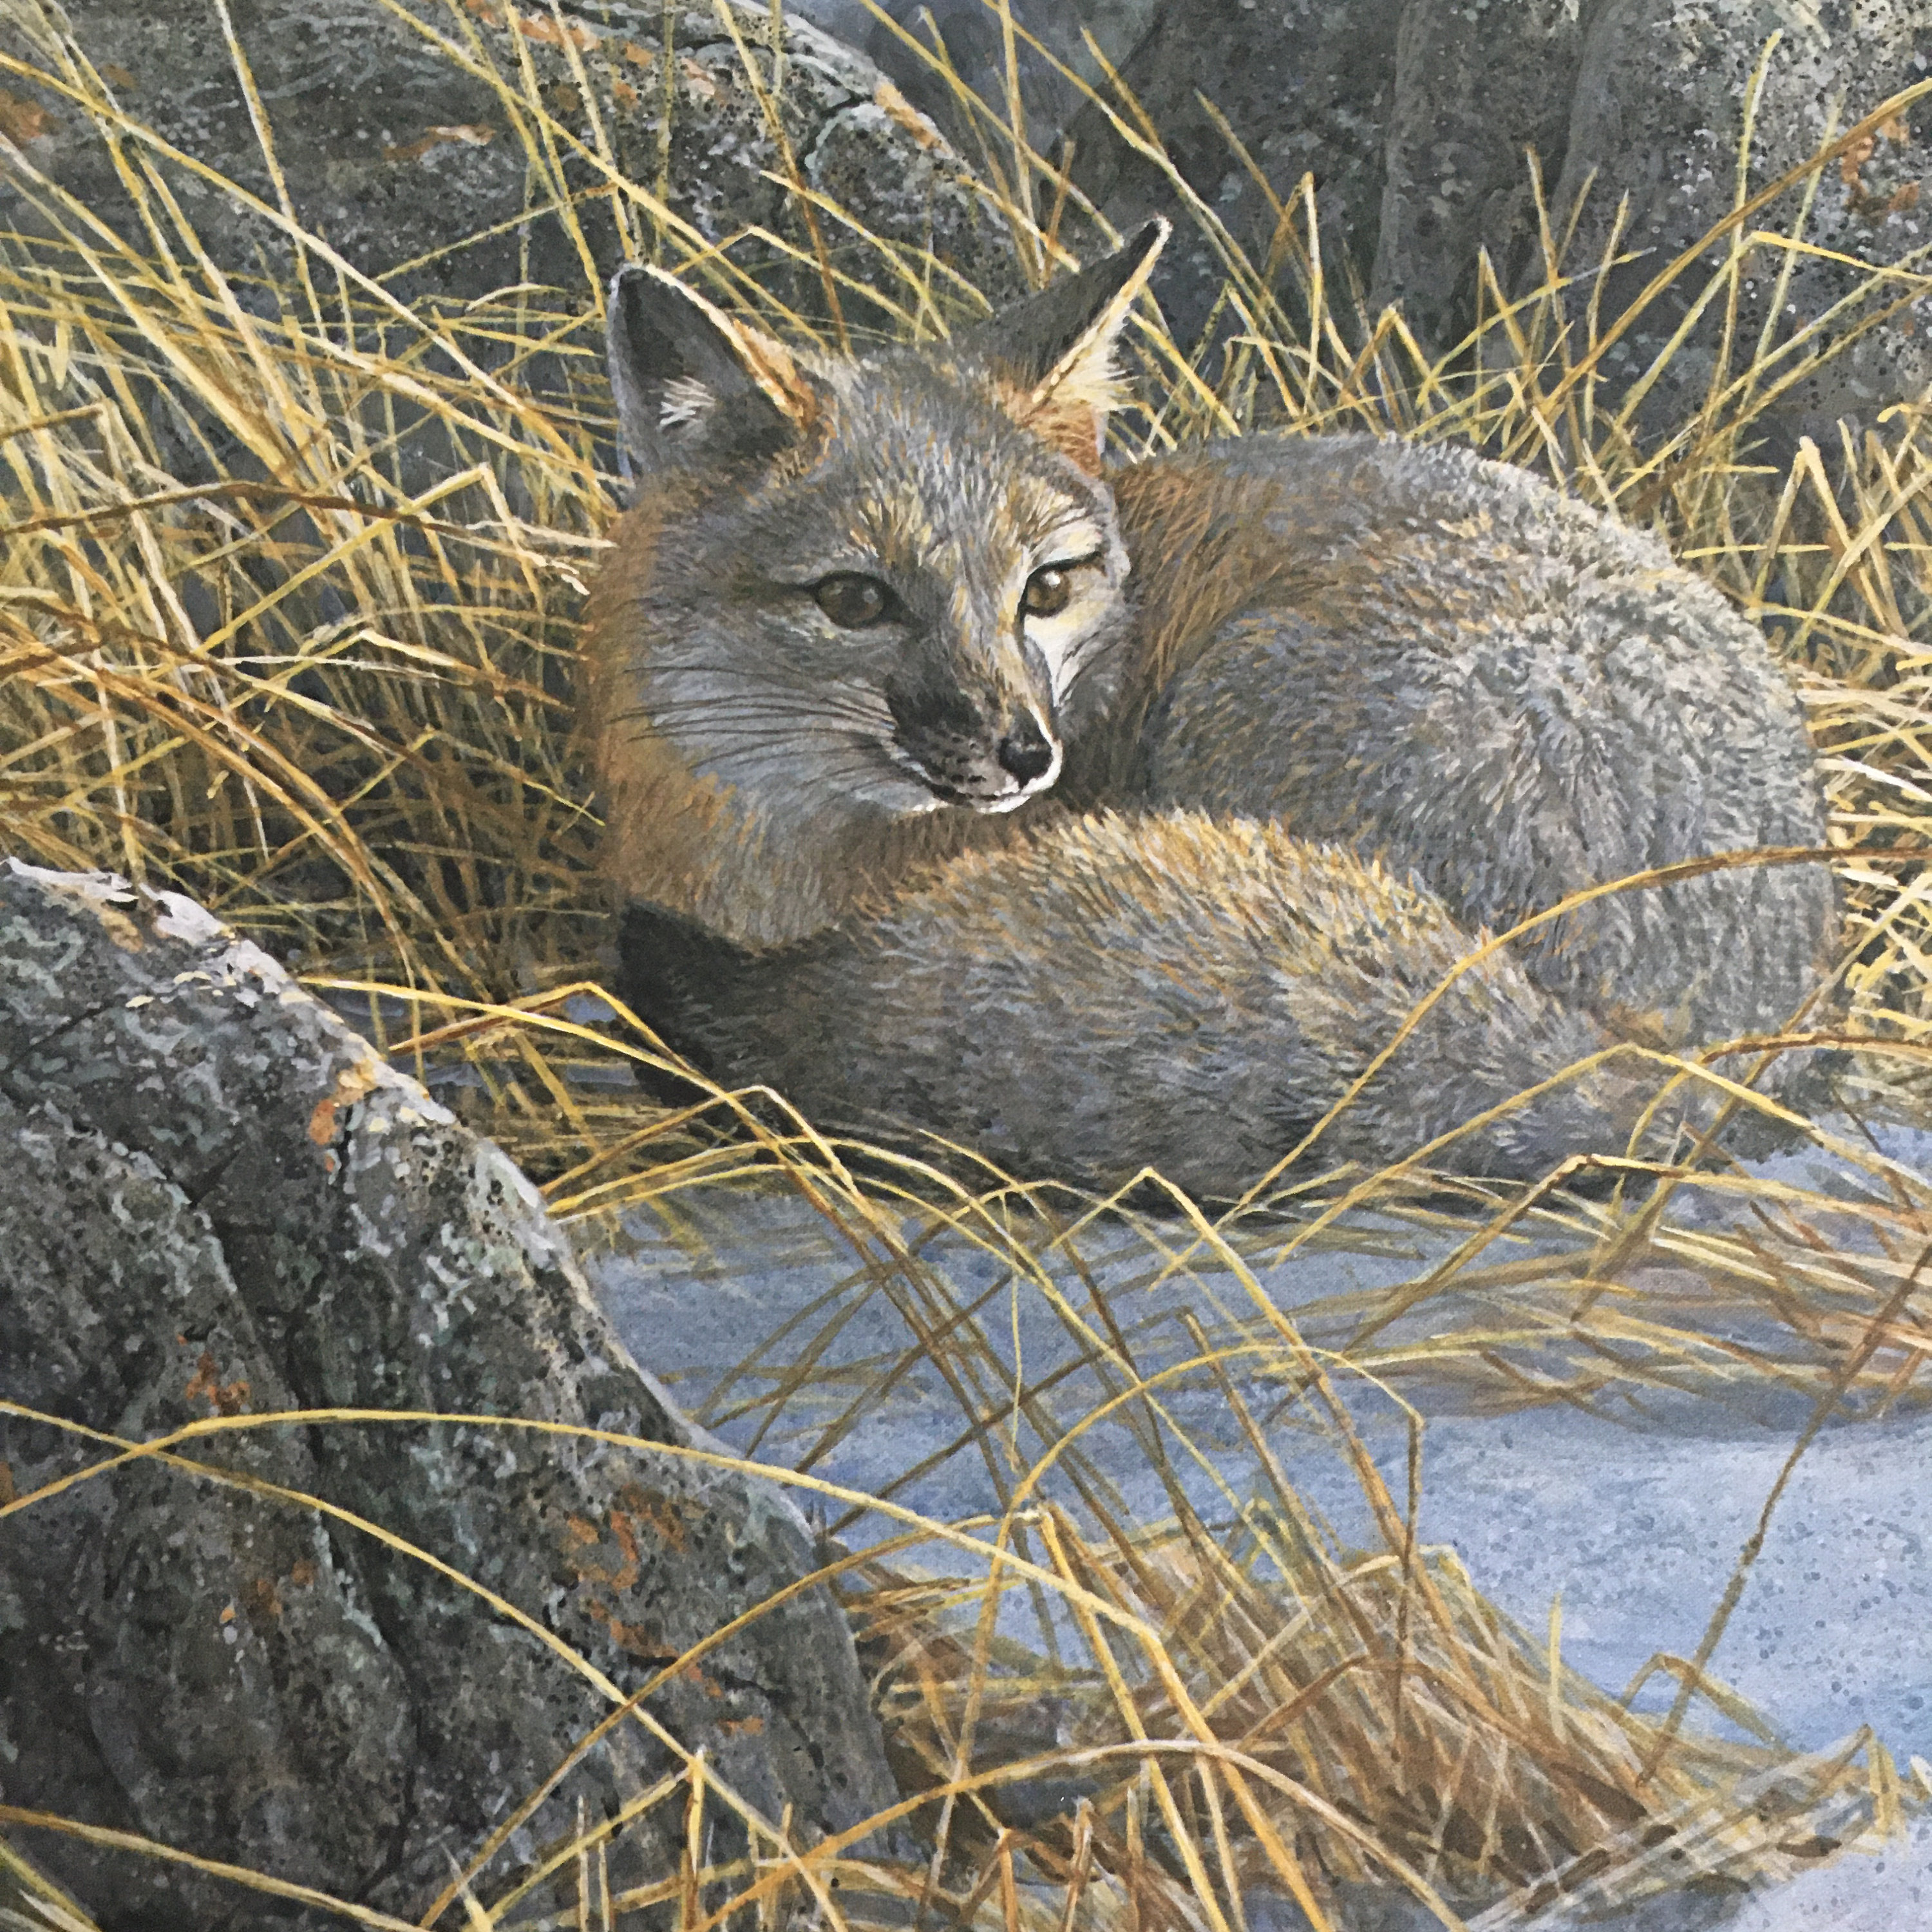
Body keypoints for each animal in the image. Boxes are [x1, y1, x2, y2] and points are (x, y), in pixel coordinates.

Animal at [582, 220, 1839, 1199]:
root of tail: (1726, 1059)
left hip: (1242, 704)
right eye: (855, 601)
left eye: (1046, 590)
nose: (1026, 755)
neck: (765, 867)